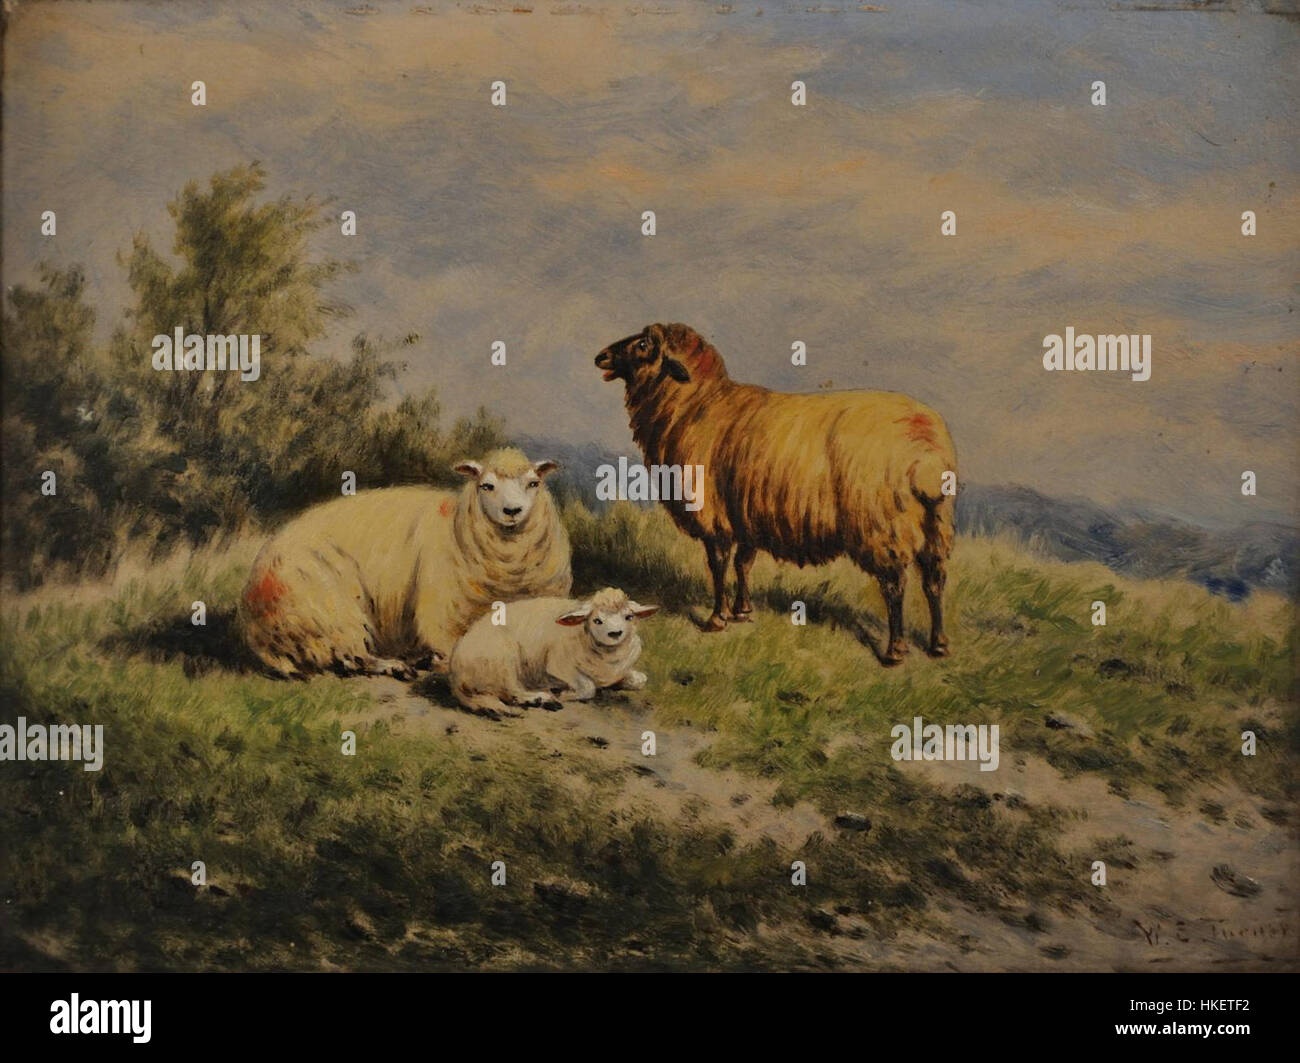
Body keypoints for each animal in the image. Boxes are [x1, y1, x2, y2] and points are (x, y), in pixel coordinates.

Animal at [238, 447, 571, 678]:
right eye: (486, 486)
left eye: (533, 483)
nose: (512, 511)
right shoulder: (441, 617)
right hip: (331, 606)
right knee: (350, 657)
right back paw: (394, 665)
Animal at [449, 587, 658, 717]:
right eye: (597, 620)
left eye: (629, 617)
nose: (615, 633)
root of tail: (456, 675)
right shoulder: (558, 665)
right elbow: (588, 687)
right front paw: (564, 694)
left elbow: (640, 680)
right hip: (504, 658)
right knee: (512, 691)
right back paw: (540, 698)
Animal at [594, 322, 957, 665]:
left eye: (644, 344)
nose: (601, 357)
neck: (697, 404)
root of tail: (927, 453)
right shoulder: (744, 514)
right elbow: (743, 563)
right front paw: (742, 611)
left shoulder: (714, 515)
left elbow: (719, 566)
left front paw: (717, 618)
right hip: (935, 523)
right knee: (935, 581)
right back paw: (939, 645)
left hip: (882, 525)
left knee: (896, 586)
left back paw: (895, 650)